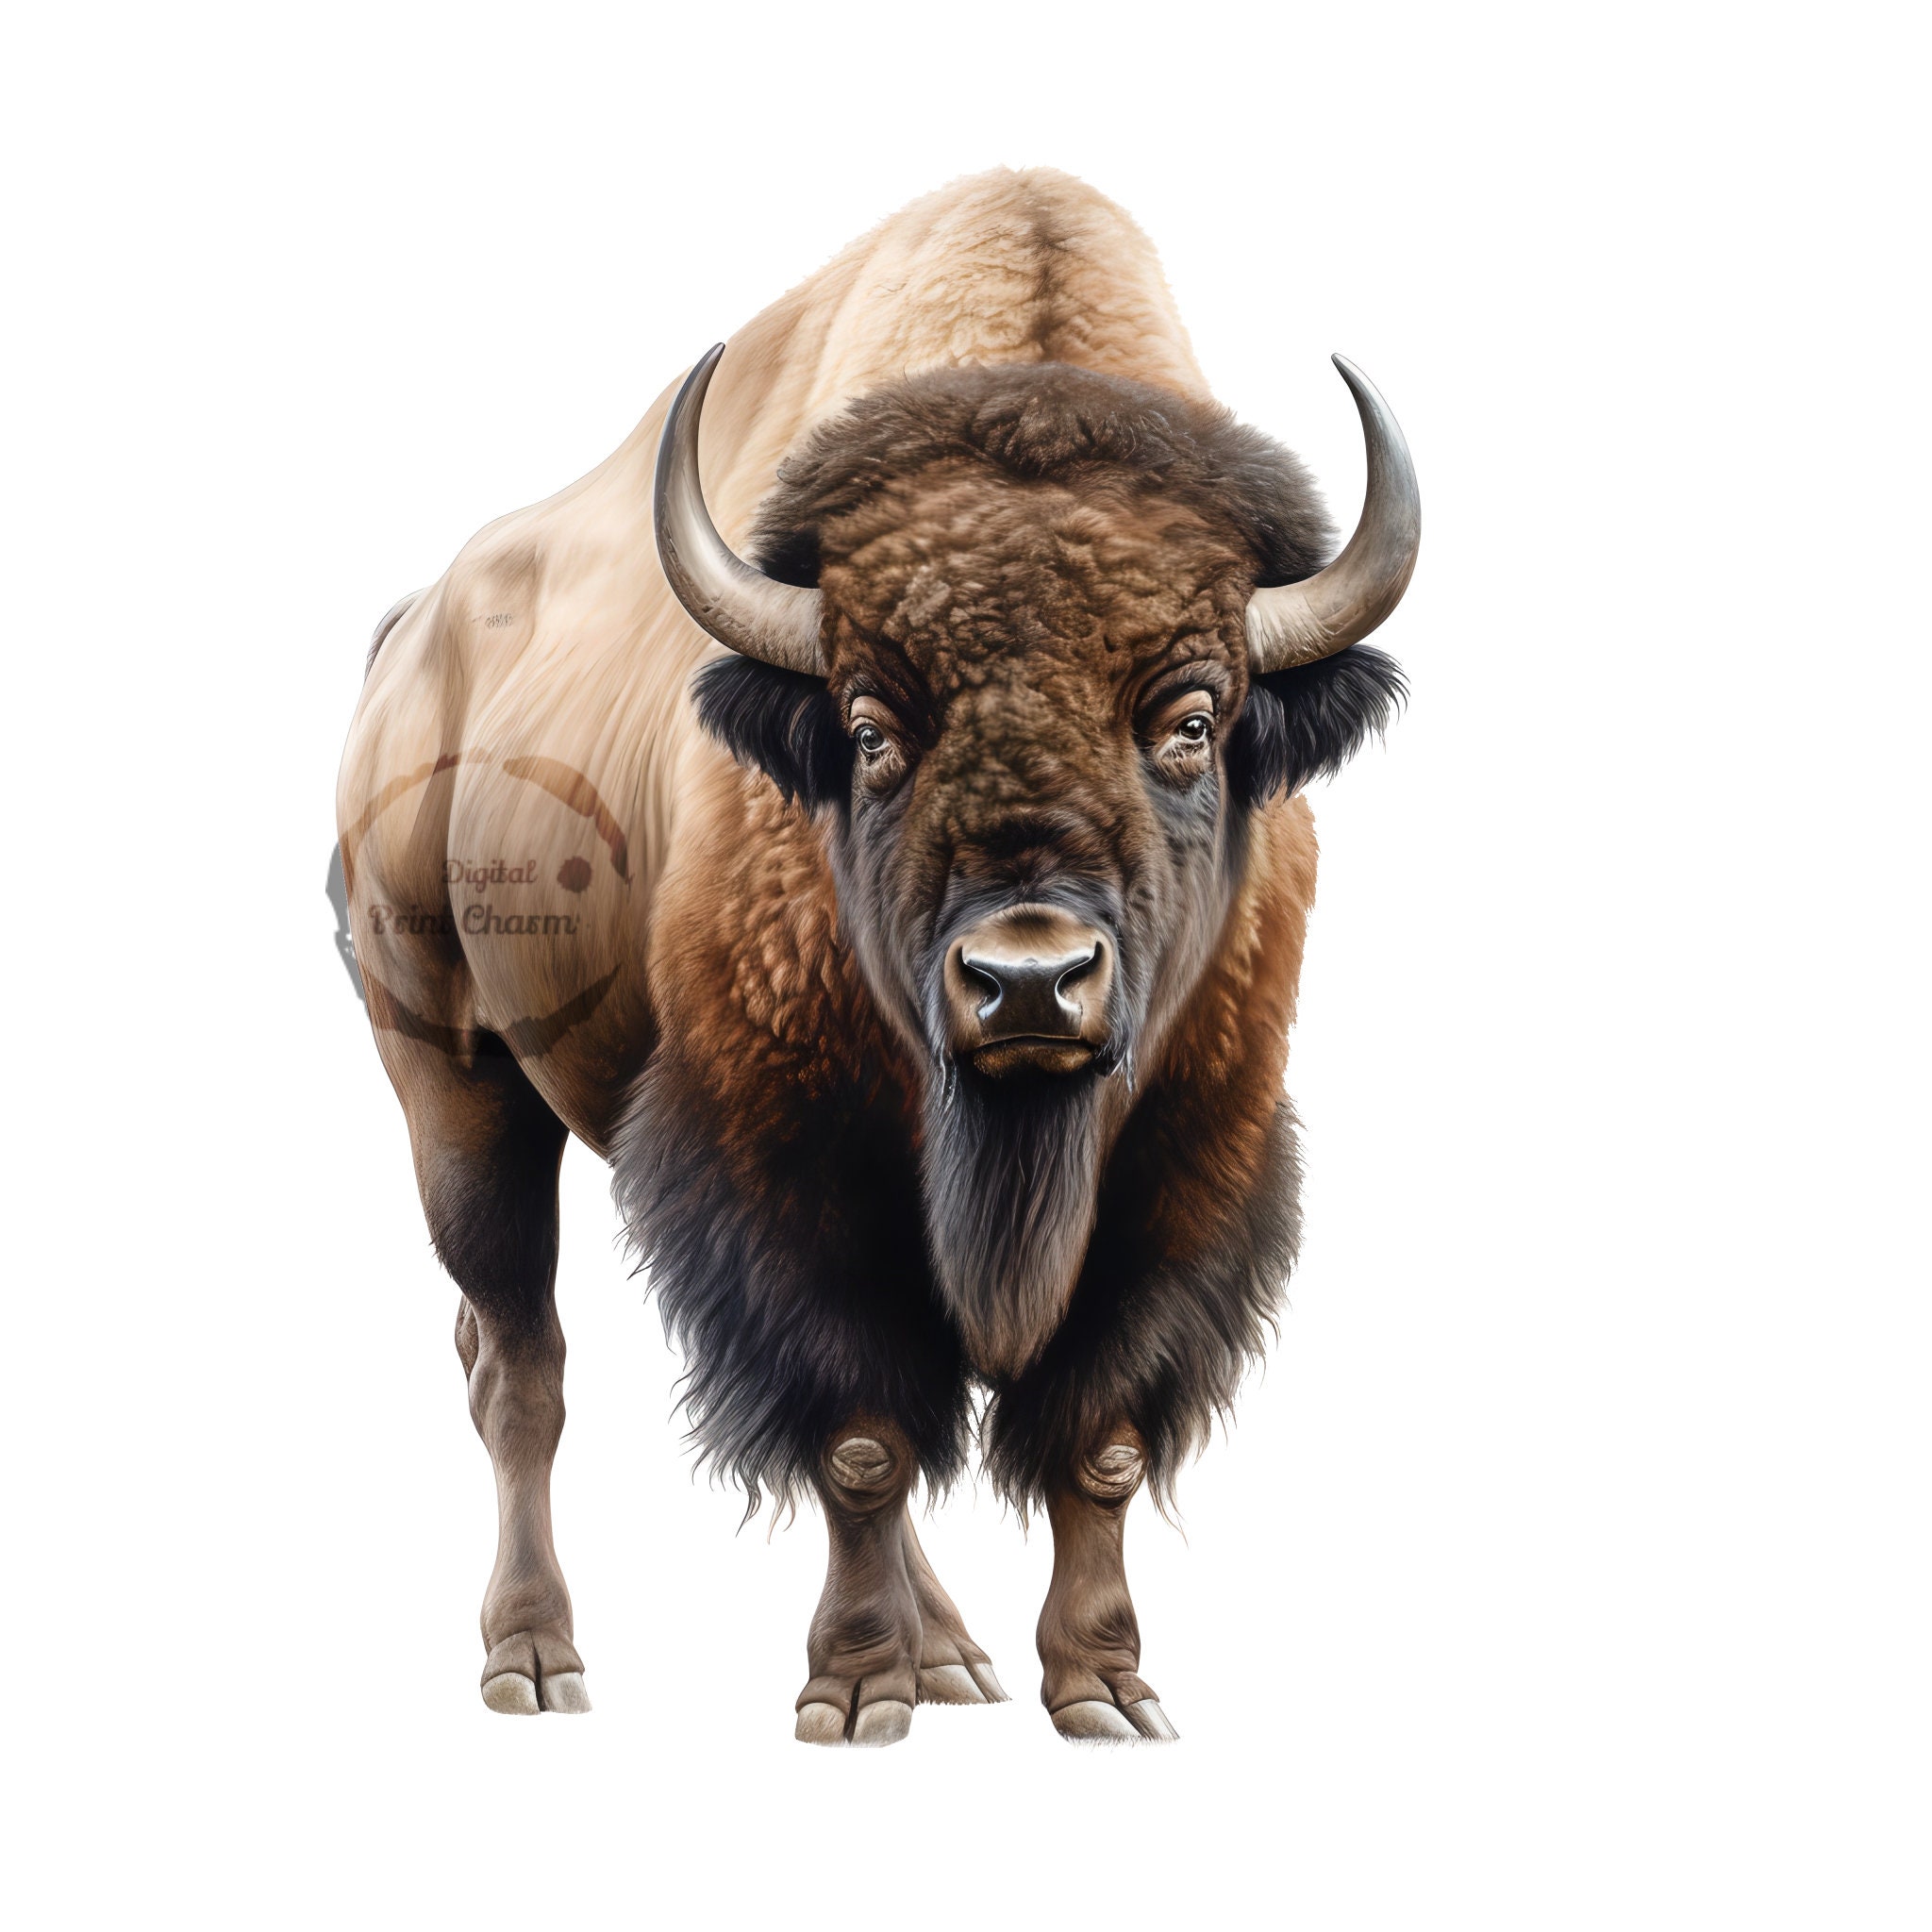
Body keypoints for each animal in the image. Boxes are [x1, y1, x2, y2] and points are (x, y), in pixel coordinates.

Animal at [336, 166, 1418, 1743]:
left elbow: (1095, 1441)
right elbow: (857, 1438)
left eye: (1193, 719)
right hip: (454, 1082)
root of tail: (411, 644)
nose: (1028, 979)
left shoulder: (1187, 1164)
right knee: (517, 1366)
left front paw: (1105, 1692)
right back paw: (536, 1661)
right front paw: (852, 1695)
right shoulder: (786, 1164)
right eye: (866, 727)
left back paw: (953, 1654)